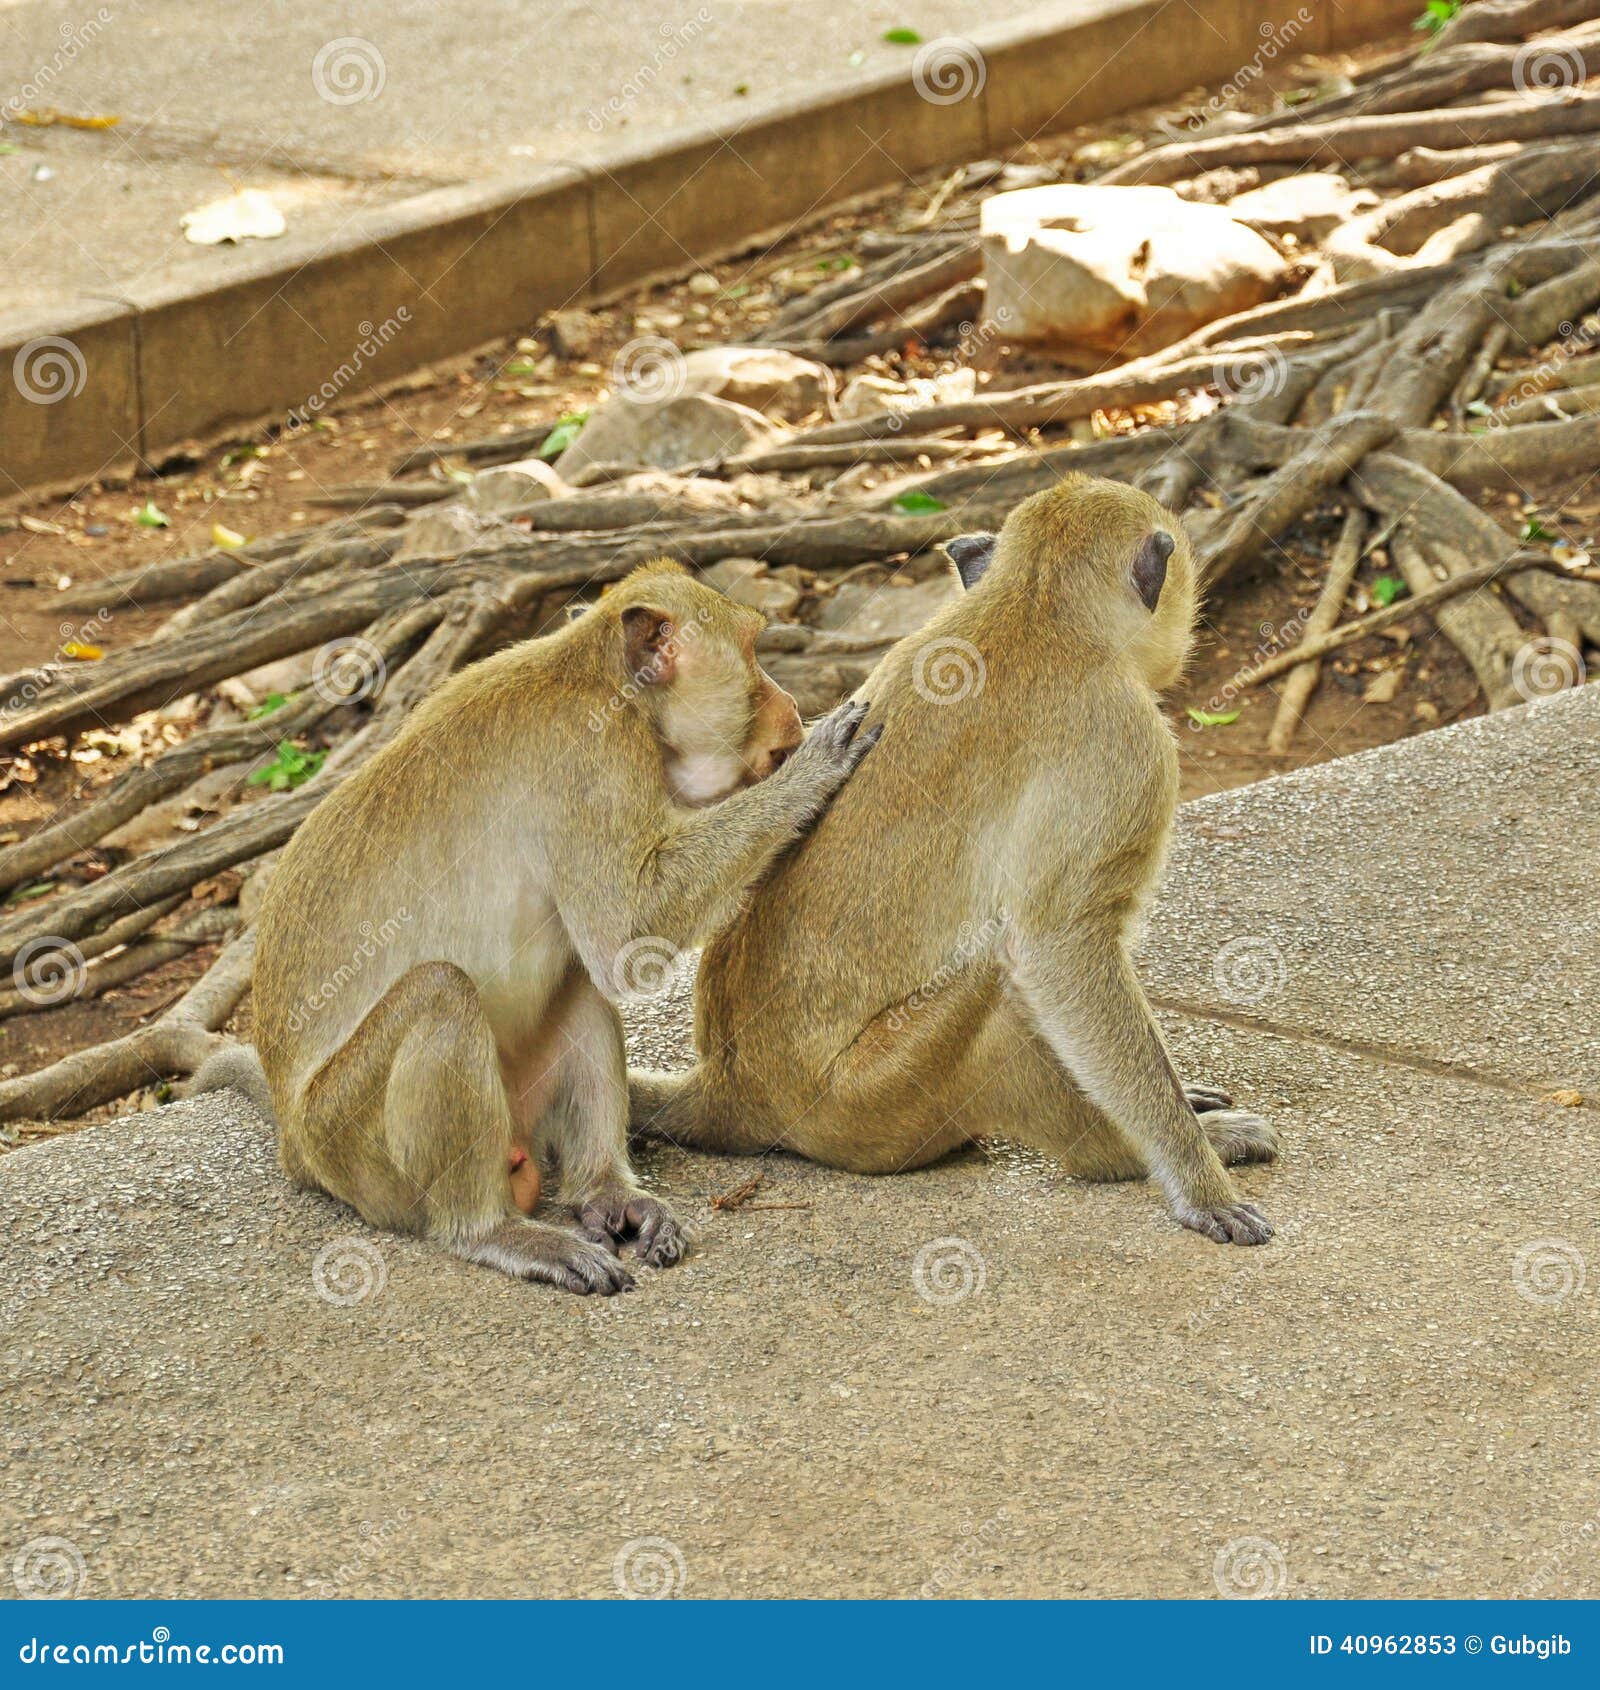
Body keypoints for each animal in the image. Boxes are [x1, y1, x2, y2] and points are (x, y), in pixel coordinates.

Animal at [196, 560, 881, 1294]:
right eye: (754, 651)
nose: (788, 701)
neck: (604, 683)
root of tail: (295, 1146)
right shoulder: (595, 765)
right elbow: (624, 940)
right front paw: (817, 764)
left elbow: (604, 960)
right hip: (351, 1146)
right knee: (441, 994)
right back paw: (492, 1230)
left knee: (575, 986)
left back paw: (604, 1192)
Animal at [630, 475, 1278, 1246]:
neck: (1033, 602)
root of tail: (730, 1091)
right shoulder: (1128, 746)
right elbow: (1062, 945)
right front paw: (1194, 1176)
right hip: (869, 1099)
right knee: (1002, 969)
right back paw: (1116, 1153)